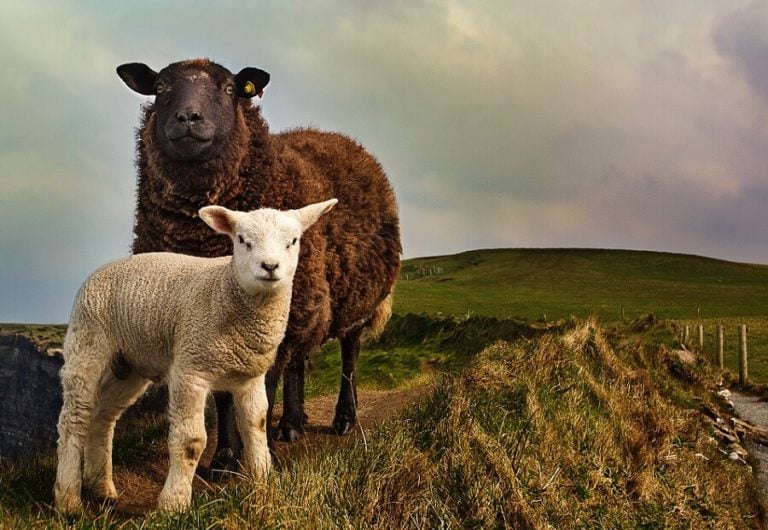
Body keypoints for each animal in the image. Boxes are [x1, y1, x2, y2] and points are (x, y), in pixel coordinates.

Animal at [53, 199, 337, 514]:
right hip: (87, 344)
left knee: (103, 418)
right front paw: (173, 504)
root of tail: (103, 268)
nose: (270, 266)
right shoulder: (190, 369)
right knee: (74, 419)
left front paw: (263, 484)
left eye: (293, 241)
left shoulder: (250, 377)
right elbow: (191, 441)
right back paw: (68, 500)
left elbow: (257, 426)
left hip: (128, 365)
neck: (226, 292)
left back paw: (101, 488)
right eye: (242, 240)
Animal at [116, 58, 401, 470]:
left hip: (355, 299)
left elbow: (259, 391)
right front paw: (224, 458)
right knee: (299, 360)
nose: (188, 117)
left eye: (229, 89)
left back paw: (344, 419)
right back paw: (292, 424)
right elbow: (224, 395)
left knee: (349, 355)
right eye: (160, 87)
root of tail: (339, 138)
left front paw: (254, 459)